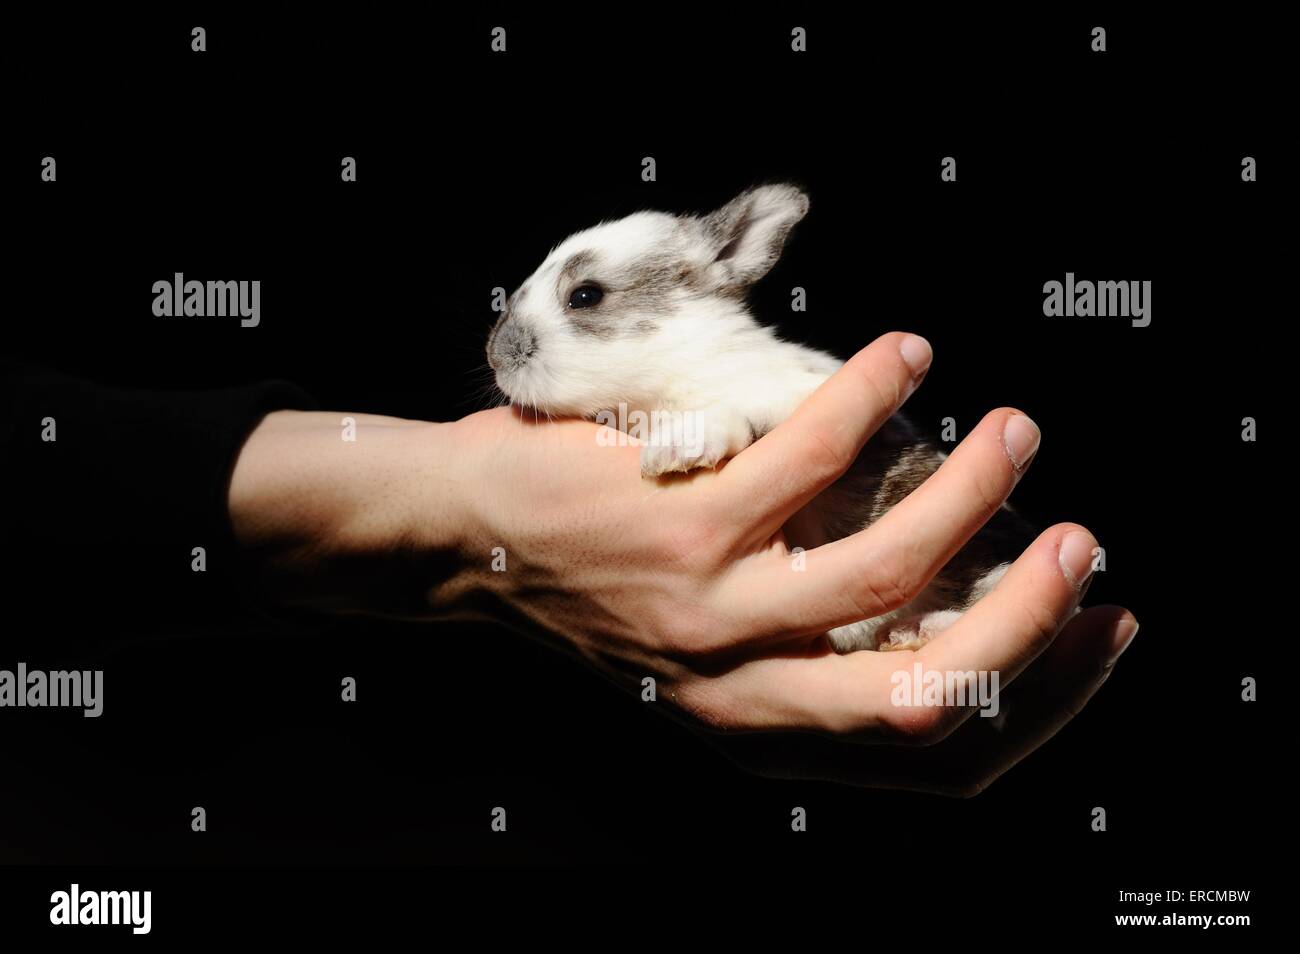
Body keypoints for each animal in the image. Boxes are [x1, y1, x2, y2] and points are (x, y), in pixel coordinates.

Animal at [486, 183, 1036, 652]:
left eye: (585, 295)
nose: (497, 355)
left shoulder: (789, 396)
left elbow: (742, 414)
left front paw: (677, 447)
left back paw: (918, 628)